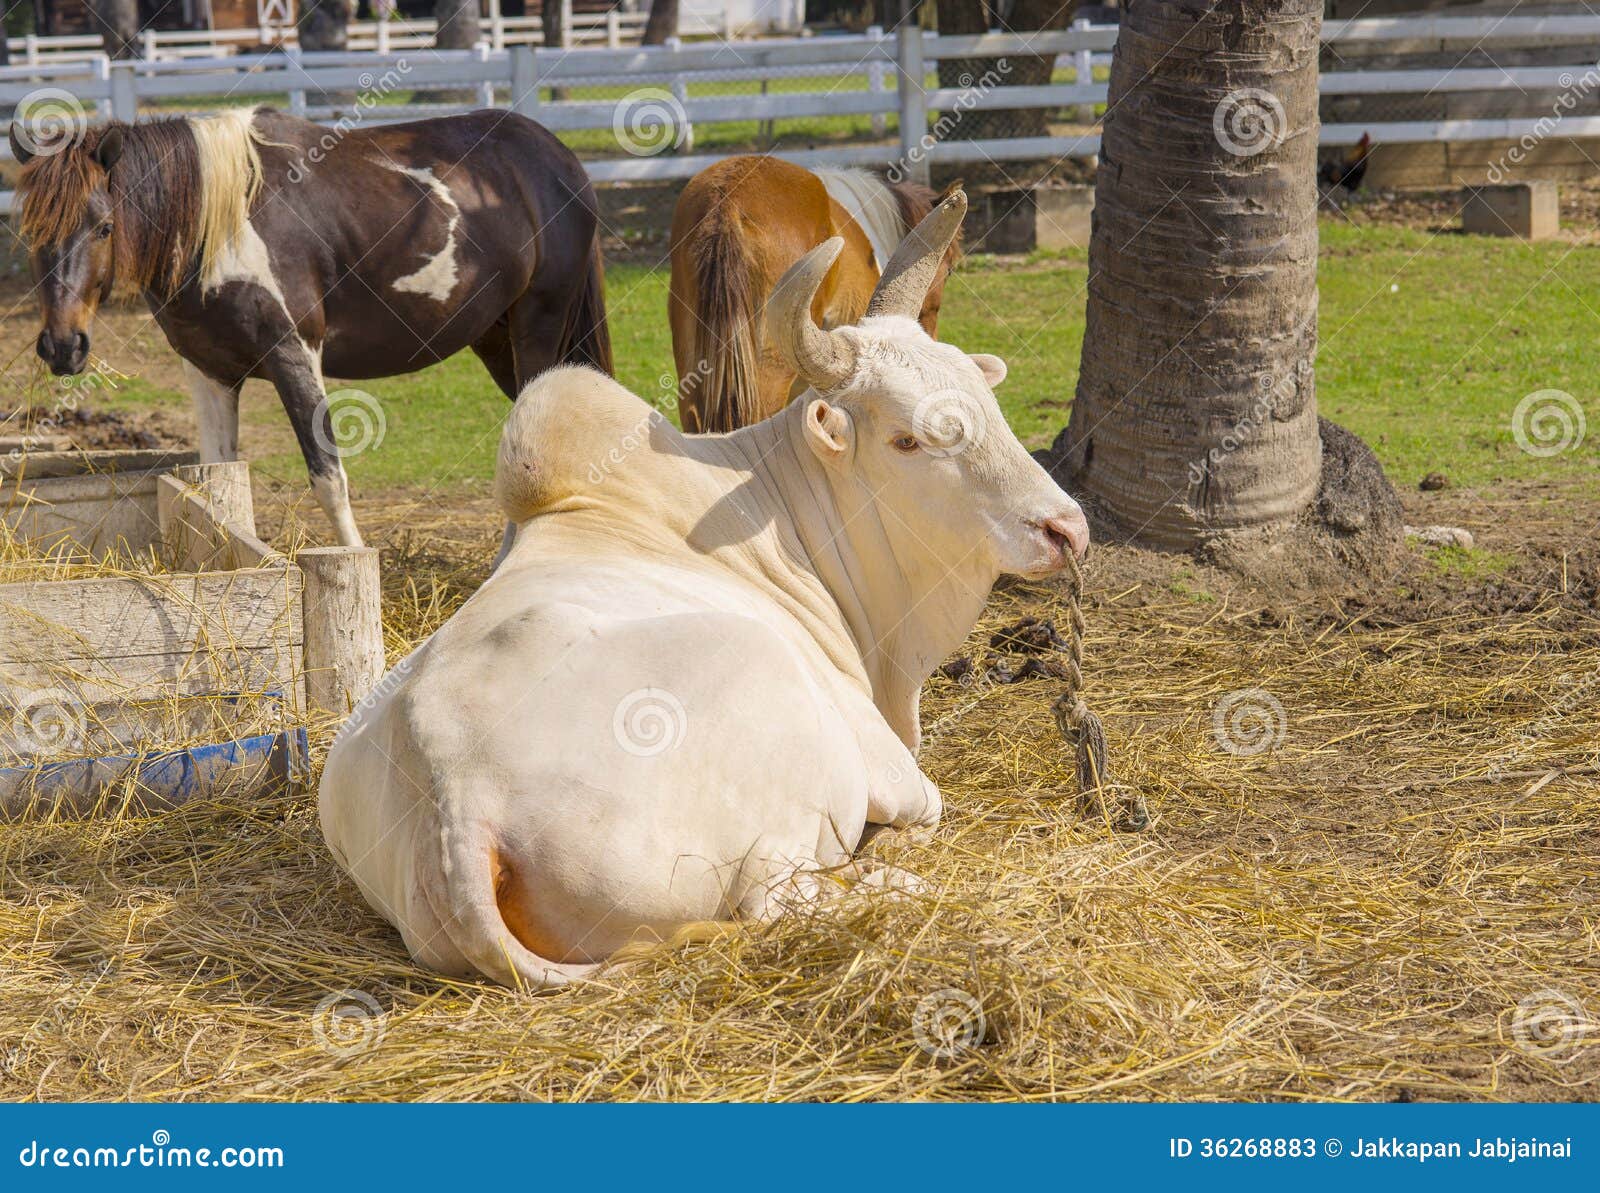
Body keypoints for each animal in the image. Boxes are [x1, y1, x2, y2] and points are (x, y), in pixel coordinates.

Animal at [9, 106, 611, 547]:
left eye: (105, 227)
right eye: (29, 232)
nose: (63, 347)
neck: (221, 226)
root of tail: (556, 156)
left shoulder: (293, 357)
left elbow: (329, 481)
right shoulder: (209, 373)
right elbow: (220, 481)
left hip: (538, 329)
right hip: (496, 340)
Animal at [317, 192, 1091, 989]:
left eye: (982, 400)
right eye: (908, 439)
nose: (1065, 529)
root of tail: (459, 807)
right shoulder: (889, 764)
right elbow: (926, 803)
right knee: (774, 897)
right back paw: (888, 880)